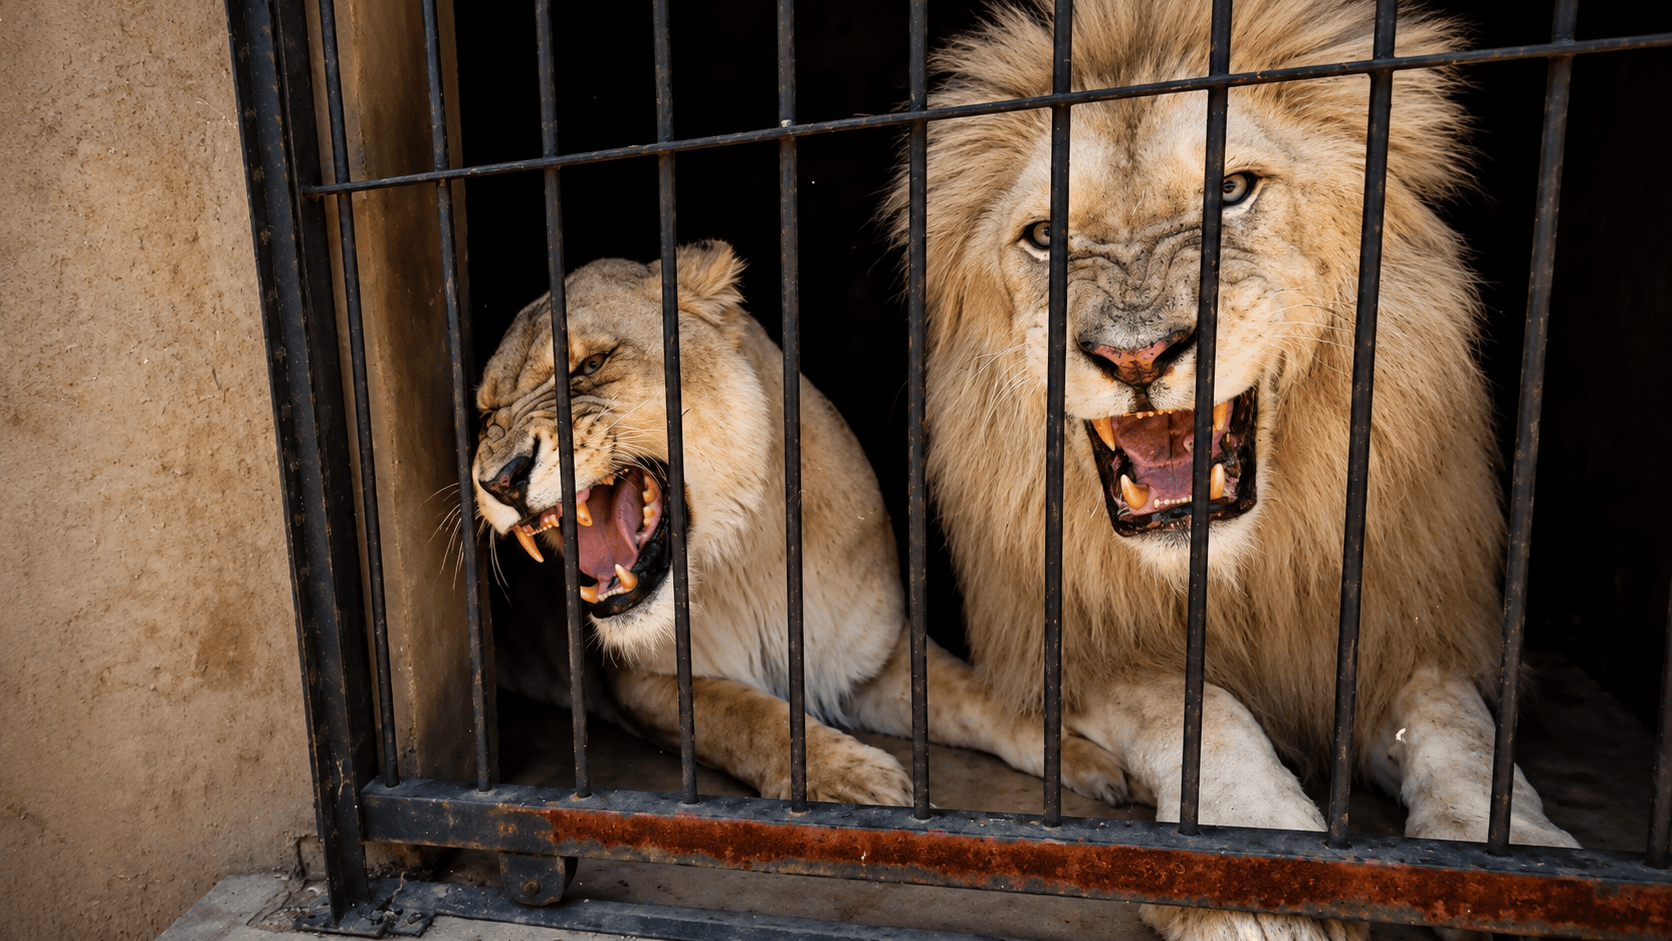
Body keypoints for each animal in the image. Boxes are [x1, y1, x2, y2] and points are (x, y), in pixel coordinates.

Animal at [471, 240, 1126, 805]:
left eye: (589, 365)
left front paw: (1084, 758)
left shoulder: (870, 659)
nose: (500, 479)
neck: (739, 554)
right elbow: (753, 715)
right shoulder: (644, 684)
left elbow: (983, 701)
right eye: (484, 413)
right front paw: (852, 776)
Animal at [886, 0, 1578, 937]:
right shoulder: (1072, 650)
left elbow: (1460, 733)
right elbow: (1201, 717)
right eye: (1045, 237)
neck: (1241, 569)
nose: (1137, 355)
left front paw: (1517, 869)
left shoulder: (1413, 621)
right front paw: (1253, 874)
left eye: (1231, 190)